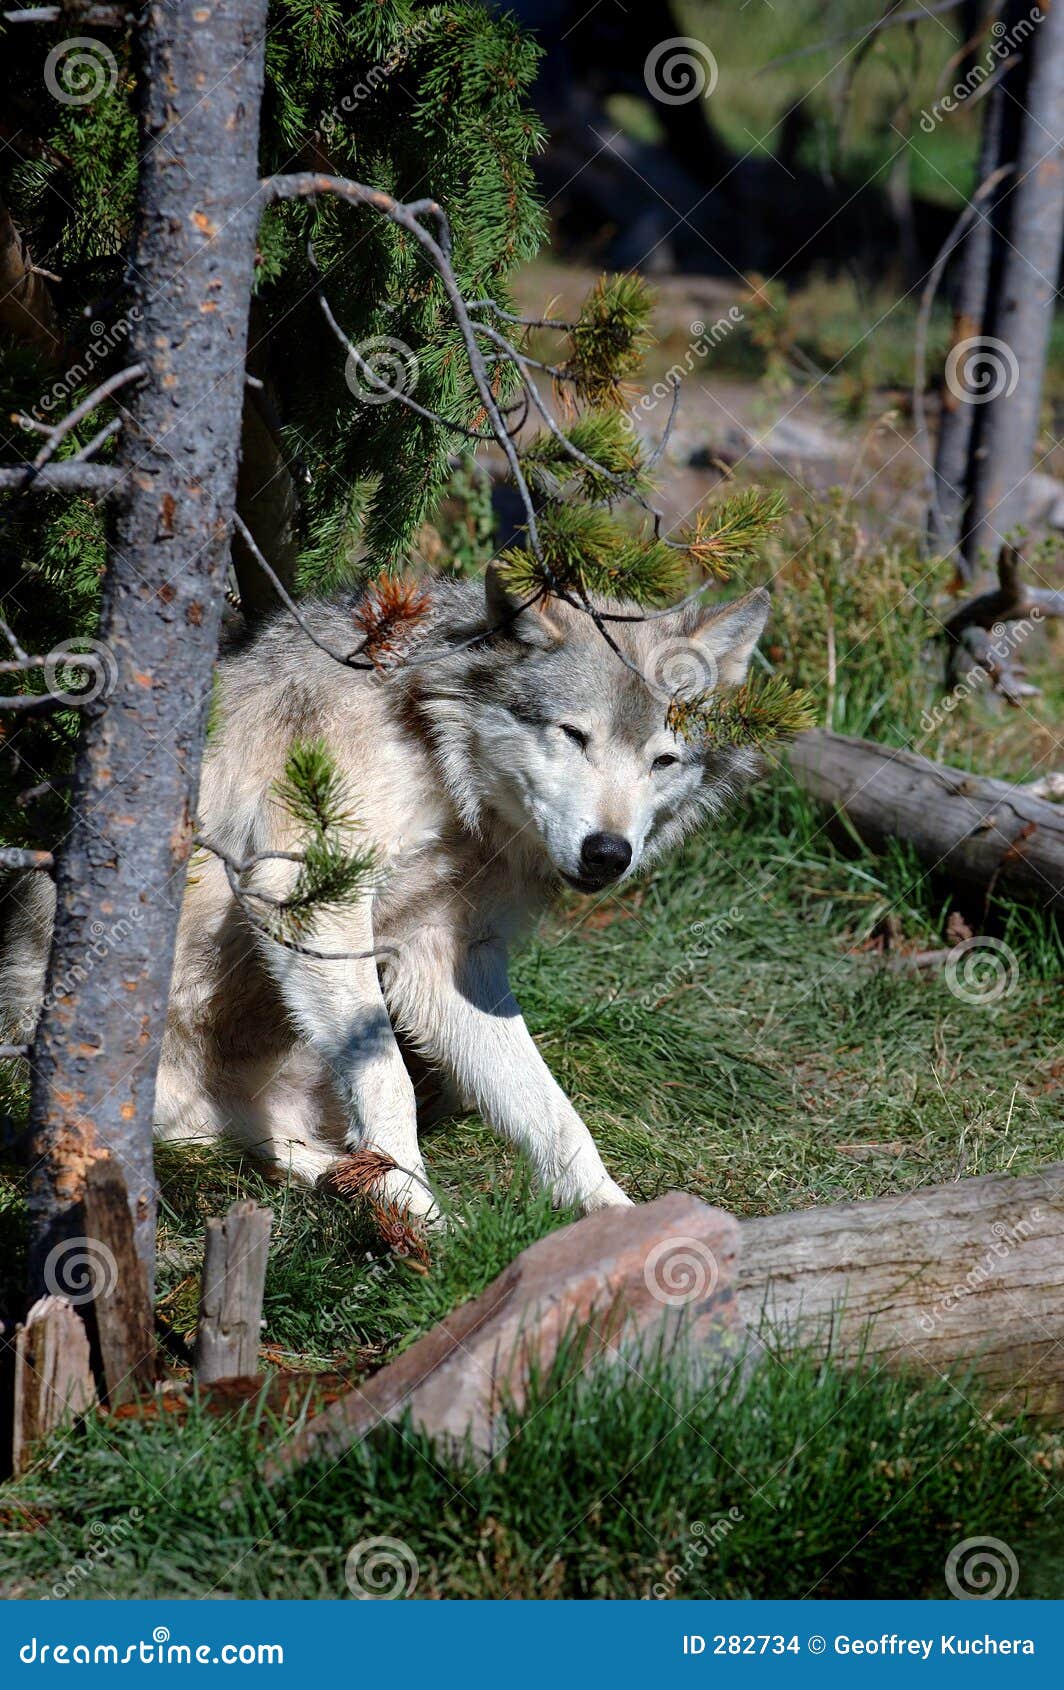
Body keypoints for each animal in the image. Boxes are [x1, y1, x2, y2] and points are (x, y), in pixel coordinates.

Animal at [1, 567, 769, 1220]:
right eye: (574, 735)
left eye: (664, 759)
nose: (607, 854)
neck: (438, 761)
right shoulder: (312, 899)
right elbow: (388, 1080)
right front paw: (421, 1222)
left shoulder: (449, 954)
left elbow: (554, 1112)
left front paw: (614, 1220)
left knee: (273, 1148)